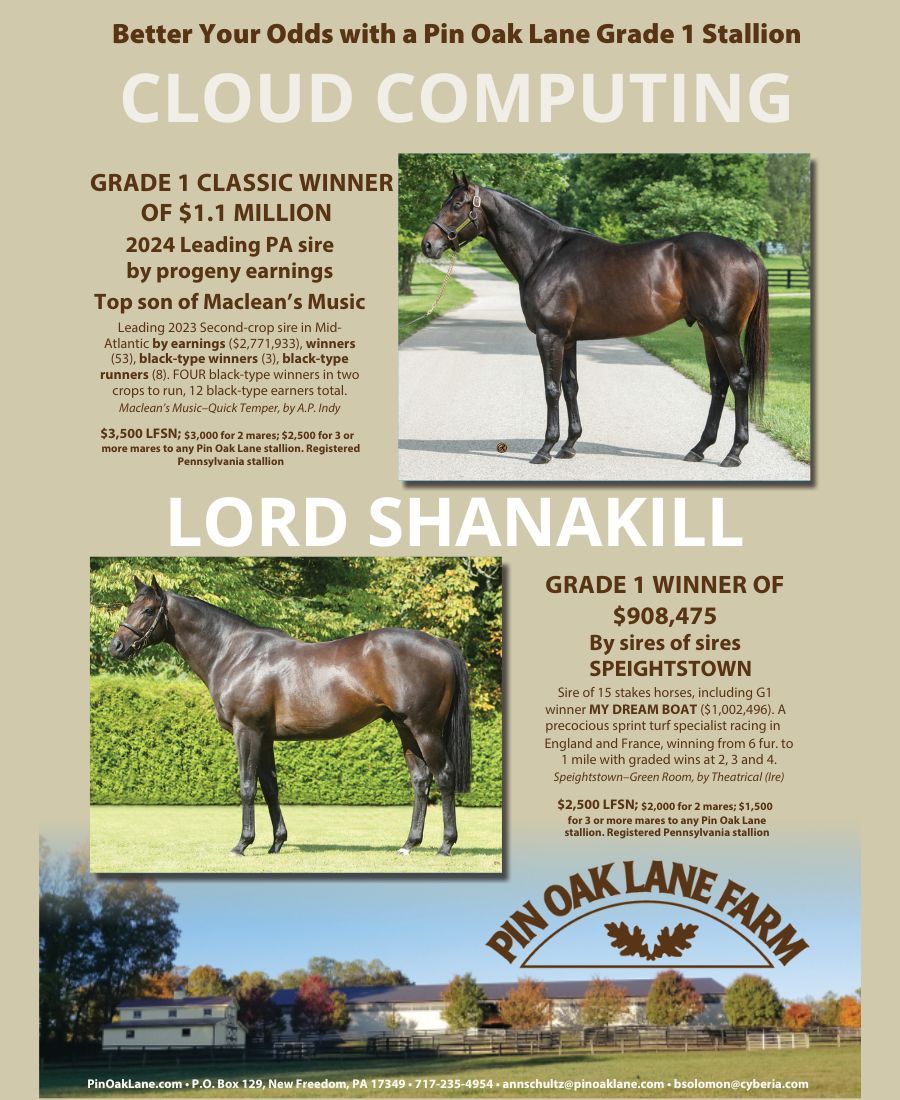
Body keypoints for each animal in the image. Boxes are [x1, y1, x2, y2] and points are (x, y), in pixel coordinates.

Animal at [108, 577, 472, 858]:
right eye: (130, 607)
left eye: (149, 610)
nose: (116, 646)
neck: (236, 654)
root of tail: (440, 642)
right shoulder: (265, 736)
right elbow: (270, 786)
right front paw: (276, 843)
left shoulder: (246, 731)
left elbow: (247, 785)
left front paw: (242, 844)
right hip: (404, 727)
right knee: (421, 780)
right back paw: (409, 844)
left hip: (424, 728)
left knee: (444, 775)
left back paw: (445, 846)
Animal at [421, 174, 769, 468]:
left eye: (456, 204)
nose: (428, 245)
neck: (545, 255)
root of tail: (748, 252)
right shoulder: (568, 339)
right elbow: (570, 386)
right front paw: (569, 445)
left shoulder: (549, 335)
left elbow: (551, 388)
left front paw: (545, 449)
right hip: (708, 332)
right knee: (719, 383)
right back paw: (698, 449)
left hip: (723, 334)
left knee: (738, 381)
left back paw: (734, 453)